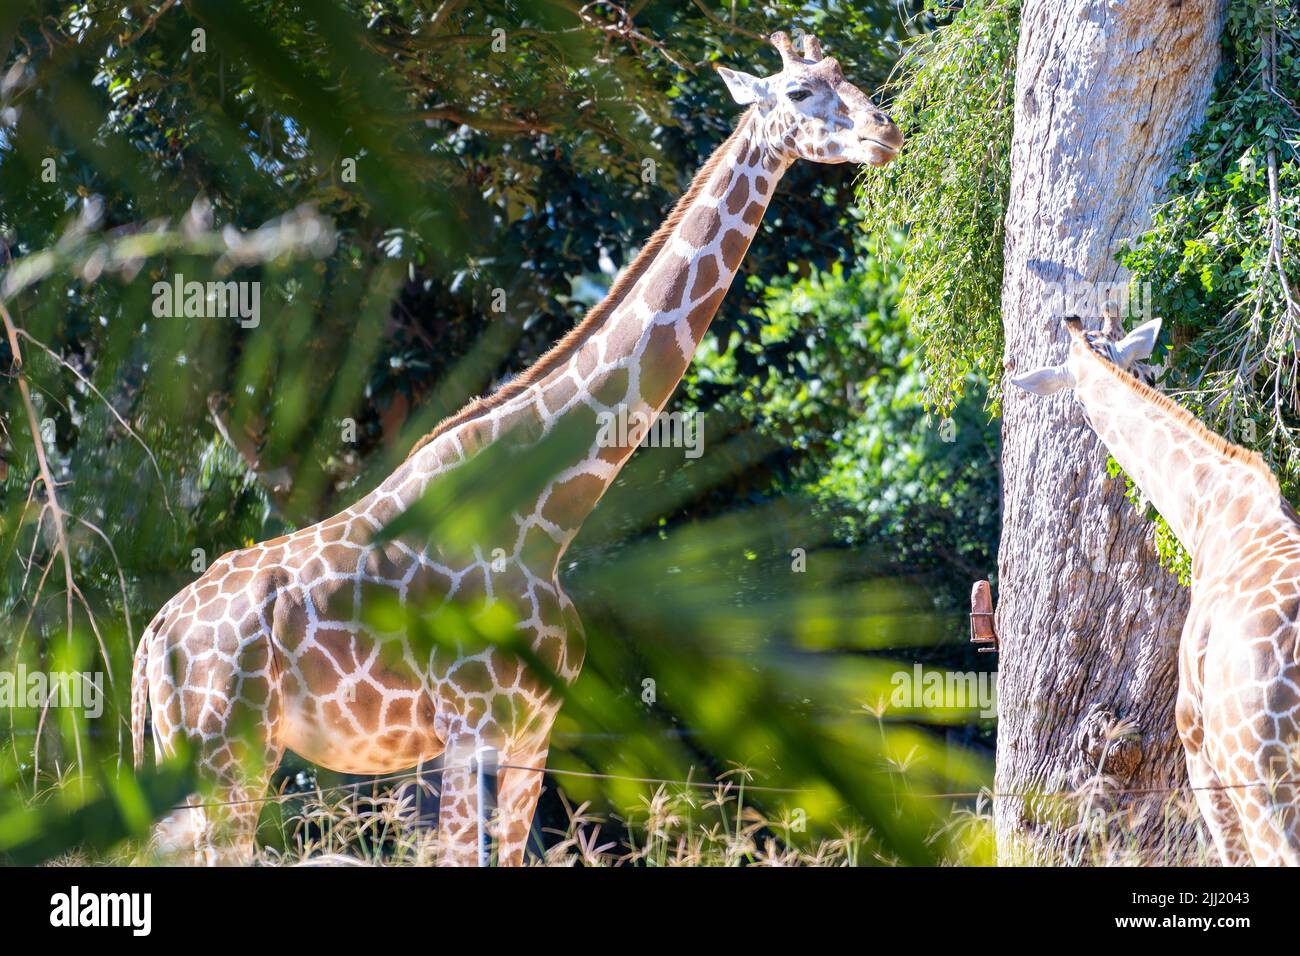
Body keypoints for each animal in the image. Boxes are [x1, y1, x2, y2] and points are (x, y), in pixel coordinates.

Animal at [129, 31, 903, 866]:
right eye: (798, 91)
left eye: (845, 76)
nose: (885, 131)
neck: (547, 513)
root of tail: (152, 637)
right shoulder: (474, 726)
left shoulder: (535, 733)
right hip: (226, 752)